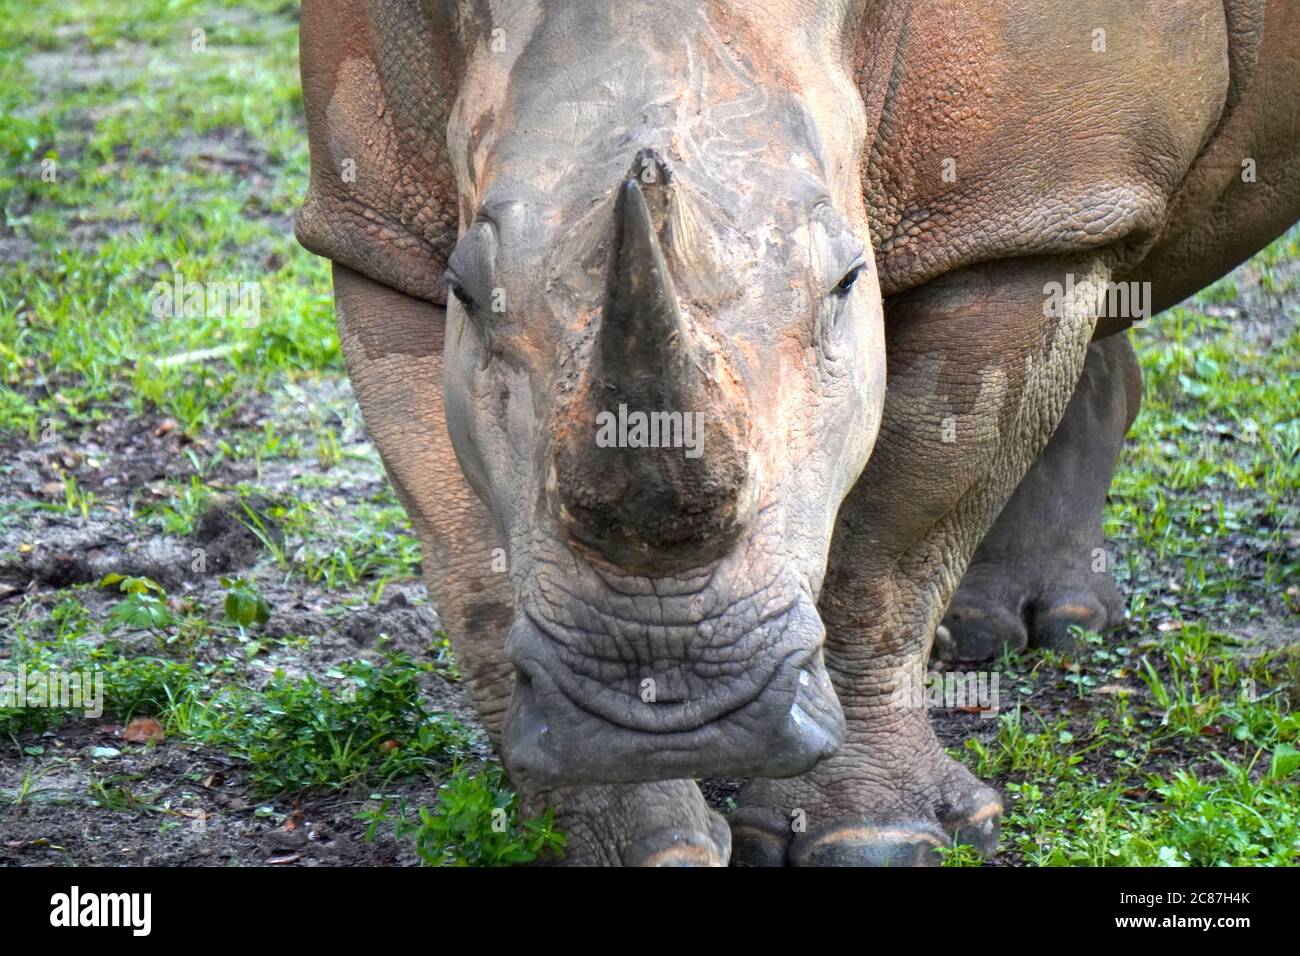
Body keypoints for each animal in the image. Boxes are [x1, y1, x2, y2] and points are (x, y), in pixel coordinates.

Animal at [295, 0, 1300, 865]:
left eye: (848, 282)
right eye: (466, 291)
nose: (670, 711)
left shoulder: (1008, 214)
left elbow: (886, 553)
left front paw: (871, 840)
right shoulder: (373, 234)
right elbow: (473, 564)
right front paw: (634, 841)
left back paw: (1041, 634)